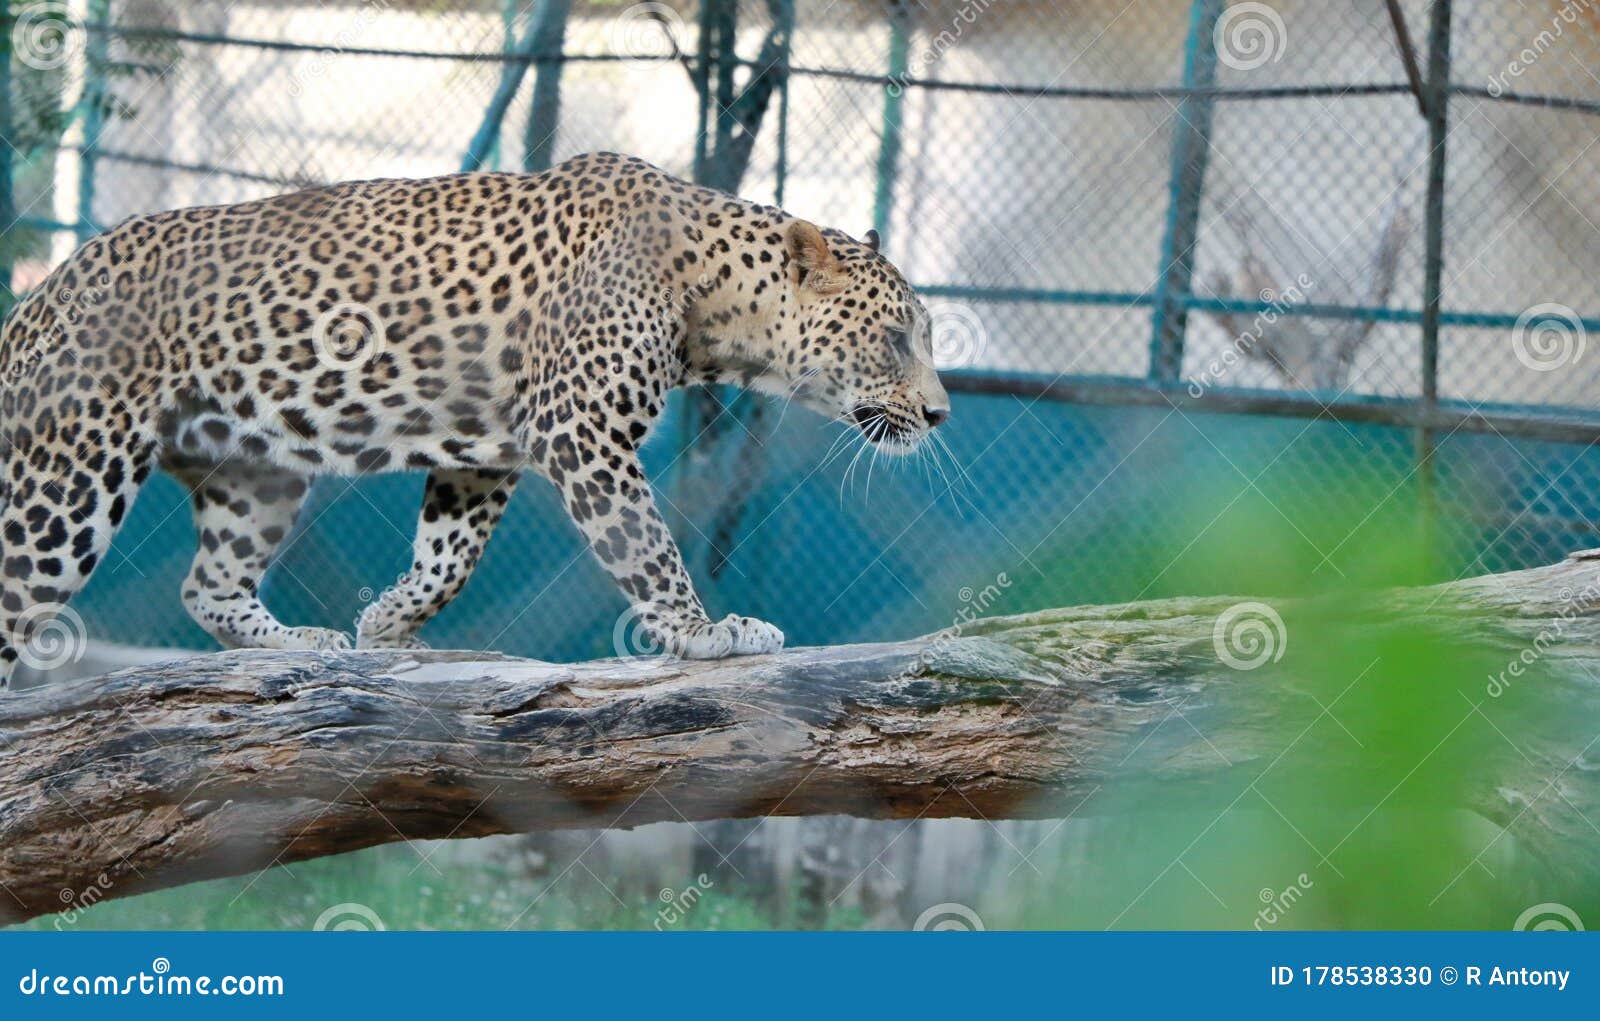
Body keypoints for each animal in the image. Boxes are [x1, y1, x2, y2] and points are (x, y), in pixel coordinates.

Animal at [0, 151, 951, 687]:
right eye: (896, 337)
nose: (942, 412)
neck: (715, 304)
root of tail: (41, 295)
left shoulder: (484, 454)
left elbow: (449, 559)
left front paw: (387, 625)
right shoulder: (582, 431)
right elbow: (648, 547)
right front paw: (706, 632)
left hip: (253, 471)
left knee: (208, 583)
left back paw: (296, 640)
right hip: (67, 479)